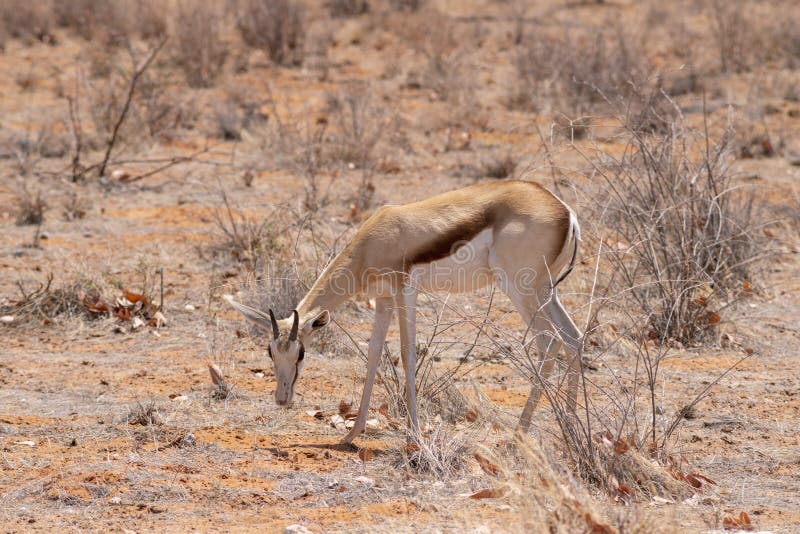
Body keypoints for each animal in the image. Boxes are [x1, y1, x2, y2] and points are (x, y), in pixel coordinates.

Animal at [224, 180, 582, 444]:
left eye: (300, 353)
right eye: (270, 352)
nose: (282, 398)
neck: (372, 242)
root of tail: (565, 210)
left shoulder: (405, 291)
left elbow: (407, 354)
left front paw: (414, 436)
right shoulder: (383, 300)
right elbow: (372, 355)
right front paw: (352, 434)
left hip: (519, 289)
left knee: (548, 341)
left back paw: (519, 434)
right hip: (544, 291)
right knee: (573, 338)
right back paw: (570, 430)